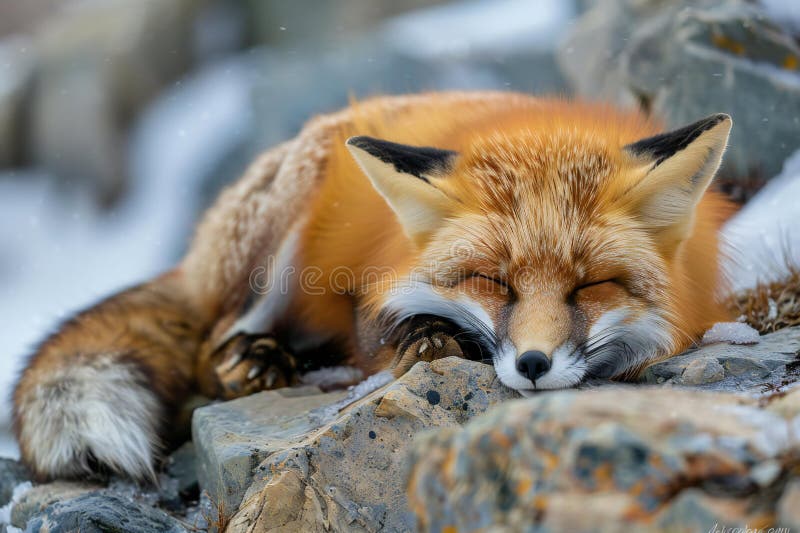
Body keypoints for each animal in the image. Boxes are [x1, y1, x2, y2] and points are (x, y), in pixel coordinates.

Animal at [13, 91, 735, 481]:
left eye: (590, 286)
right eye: (491, 280)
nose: (533, 364)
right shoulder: (370, 286)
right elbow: (386, 328)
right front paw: (426, 338)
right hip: (280, 238)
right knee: (210, 342)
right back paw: (253, 362)